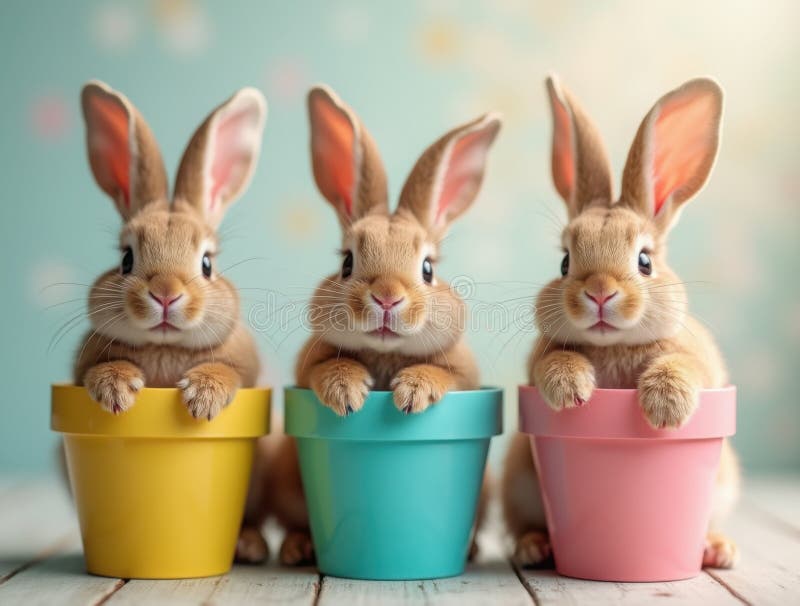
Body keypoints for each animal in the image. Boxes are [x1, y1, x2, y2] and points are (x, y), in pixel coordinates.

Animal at [73, 80, 266, 421]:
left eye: (207, 264)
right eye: (126, 259)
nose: (165, 293)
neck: (165, 345)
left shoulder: (244, 368)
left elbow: (225, 370)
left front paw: (202, 398)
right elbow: (102, 366)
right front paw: (116, 391)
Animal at [236, 85, 502, 565]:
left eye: (428, 269)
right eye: (346, 262)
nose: (387, 297)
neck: (384, 353)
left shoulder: (464, 375)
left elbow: (441, 373)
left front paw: (411, 394)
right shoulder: (309, 365)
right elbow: (326, 368)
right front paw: (348, 394)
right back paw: (295, 548)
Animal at [501, 75, 740, 570]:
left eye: (645, 261)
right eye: (564, 262)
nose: (599, 292)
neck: (613, 345)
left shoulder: (697, 362)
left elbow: (682, 366)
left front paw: (665, 408)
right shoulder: (540, 358)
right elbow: (553, 361)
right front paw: (571, 391)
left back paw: (719, 550)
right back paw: (534, 547)